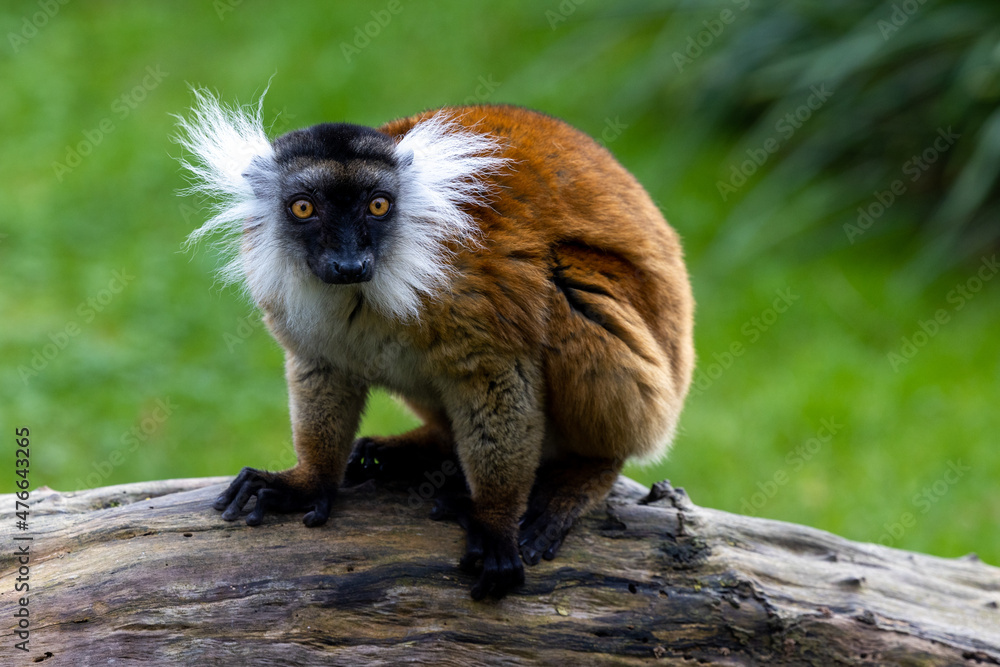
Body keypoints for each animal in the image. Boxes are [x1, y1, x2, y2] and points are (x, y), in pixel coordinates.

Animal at [176, 92, 695, 600]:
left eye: (378, 206)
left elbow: (498, 375)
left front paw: (495, 522)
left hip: (651, 395)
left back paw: (585, 473)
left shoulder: (468, 287)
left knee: (566, 286)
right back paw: (422, 449)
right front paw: (309, 482)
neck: (362, 290)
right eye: (304, 208)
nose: (348, 263)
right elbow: (321, 367)